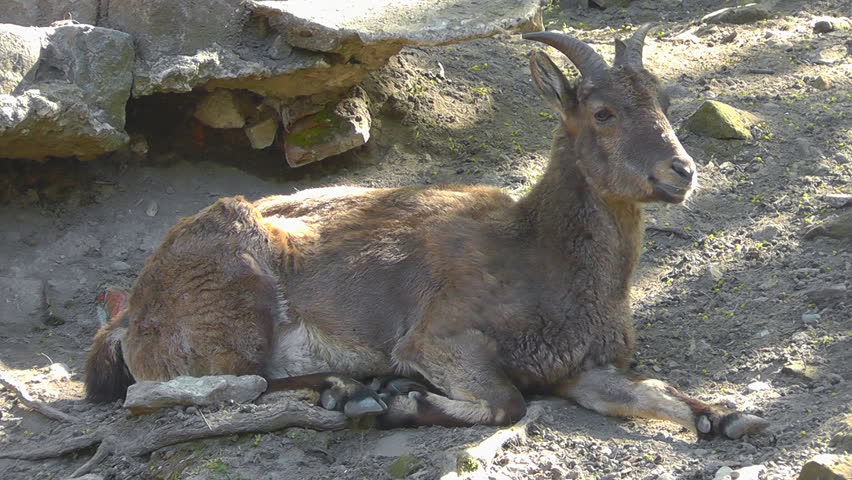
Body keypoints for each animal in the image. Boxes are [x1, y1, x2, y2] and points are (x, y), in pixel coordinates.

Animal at [85, 26, 769, 440]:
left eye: (664, 100)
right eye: (602, 112)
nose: (681, 172)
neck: (541, 257)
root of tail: (132, 315)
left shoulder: (579, 365)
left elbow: (656, 391)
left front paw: (728, 417)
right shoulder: (439, 336)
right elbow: (506, 402)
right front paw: (404, 401)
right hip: (234, 296)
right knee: (224, 382)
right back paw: (353, 392)